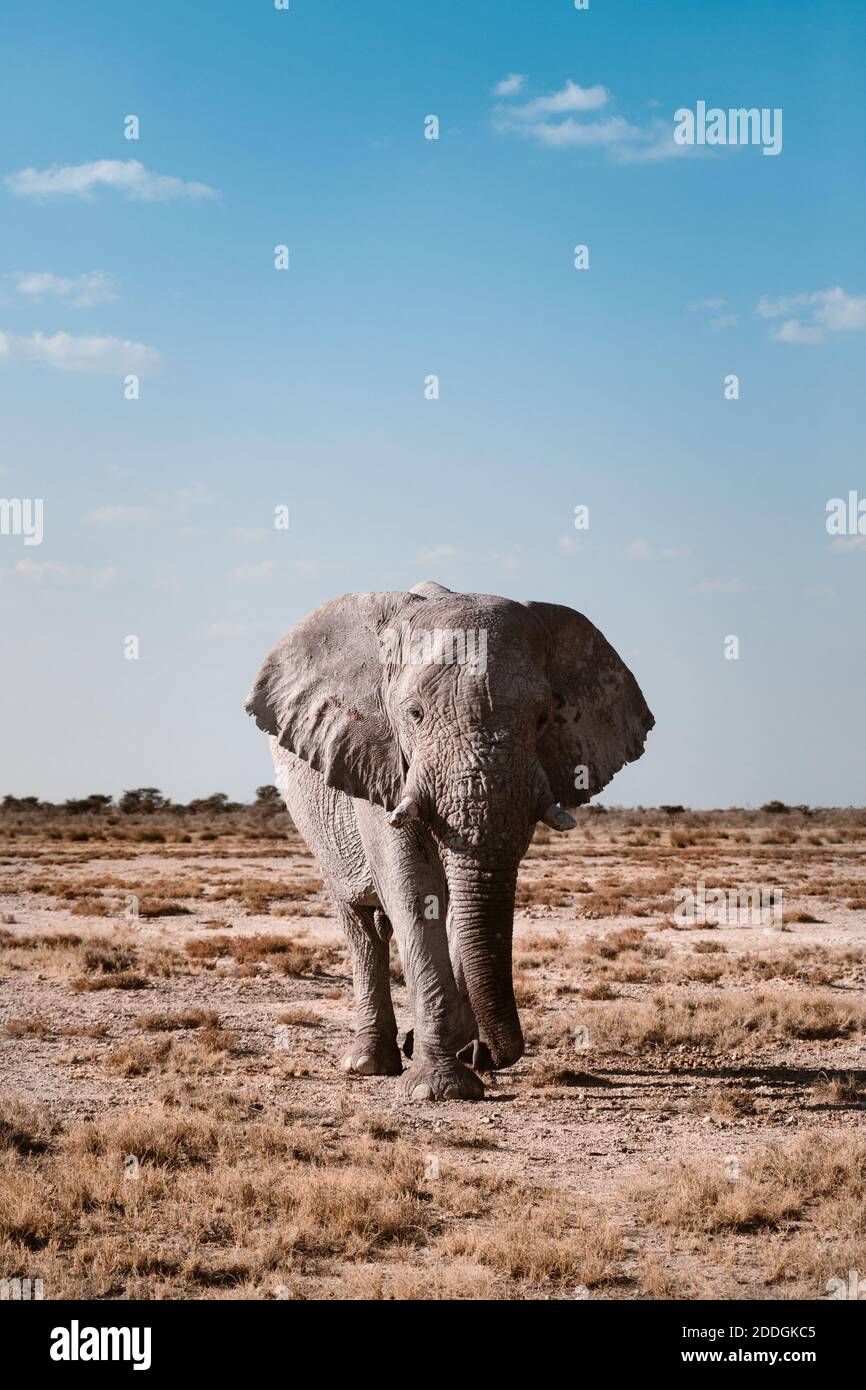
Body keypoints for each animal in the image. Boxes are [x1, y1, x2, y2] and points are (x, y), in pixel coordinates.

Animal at [245, 581, 653, 1101]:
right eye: (415, 714)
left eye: (544, 718)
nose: (492, 1054)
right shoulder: (380, 760)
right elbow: (414, 891)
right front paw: (440, 1088)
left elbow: (465, 897)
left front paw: (464, 1056)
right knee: (360, 924)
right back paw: (369, 1063)